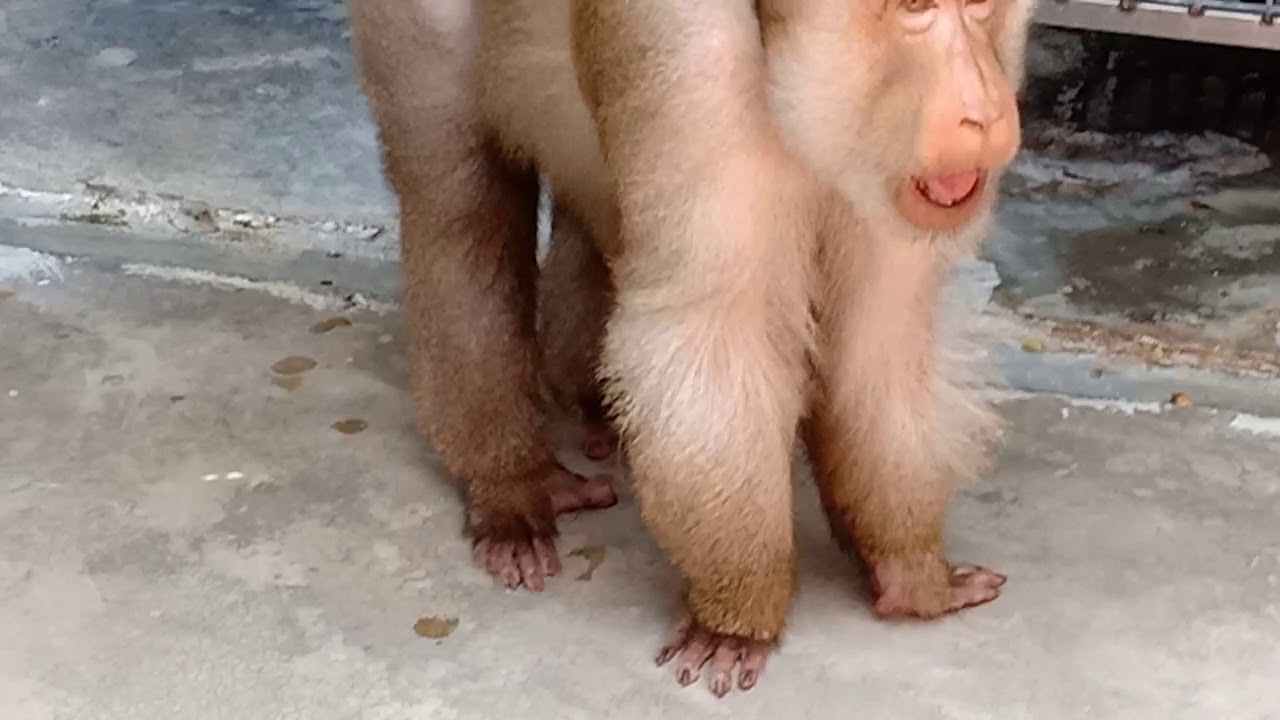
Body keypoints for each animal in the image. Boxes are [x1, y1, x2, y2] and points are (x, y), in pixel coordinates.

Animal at [347, 0, 1034, 698]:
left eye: (981, 8)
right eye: (916, 10)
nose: (983, 110)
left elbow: (880, 332)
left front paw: (910, 571)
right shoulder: (688, 63)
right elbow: (716, 332)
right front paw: (739, 613)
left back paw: (589, 400)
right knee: (460, 216)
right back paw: (511, 482)